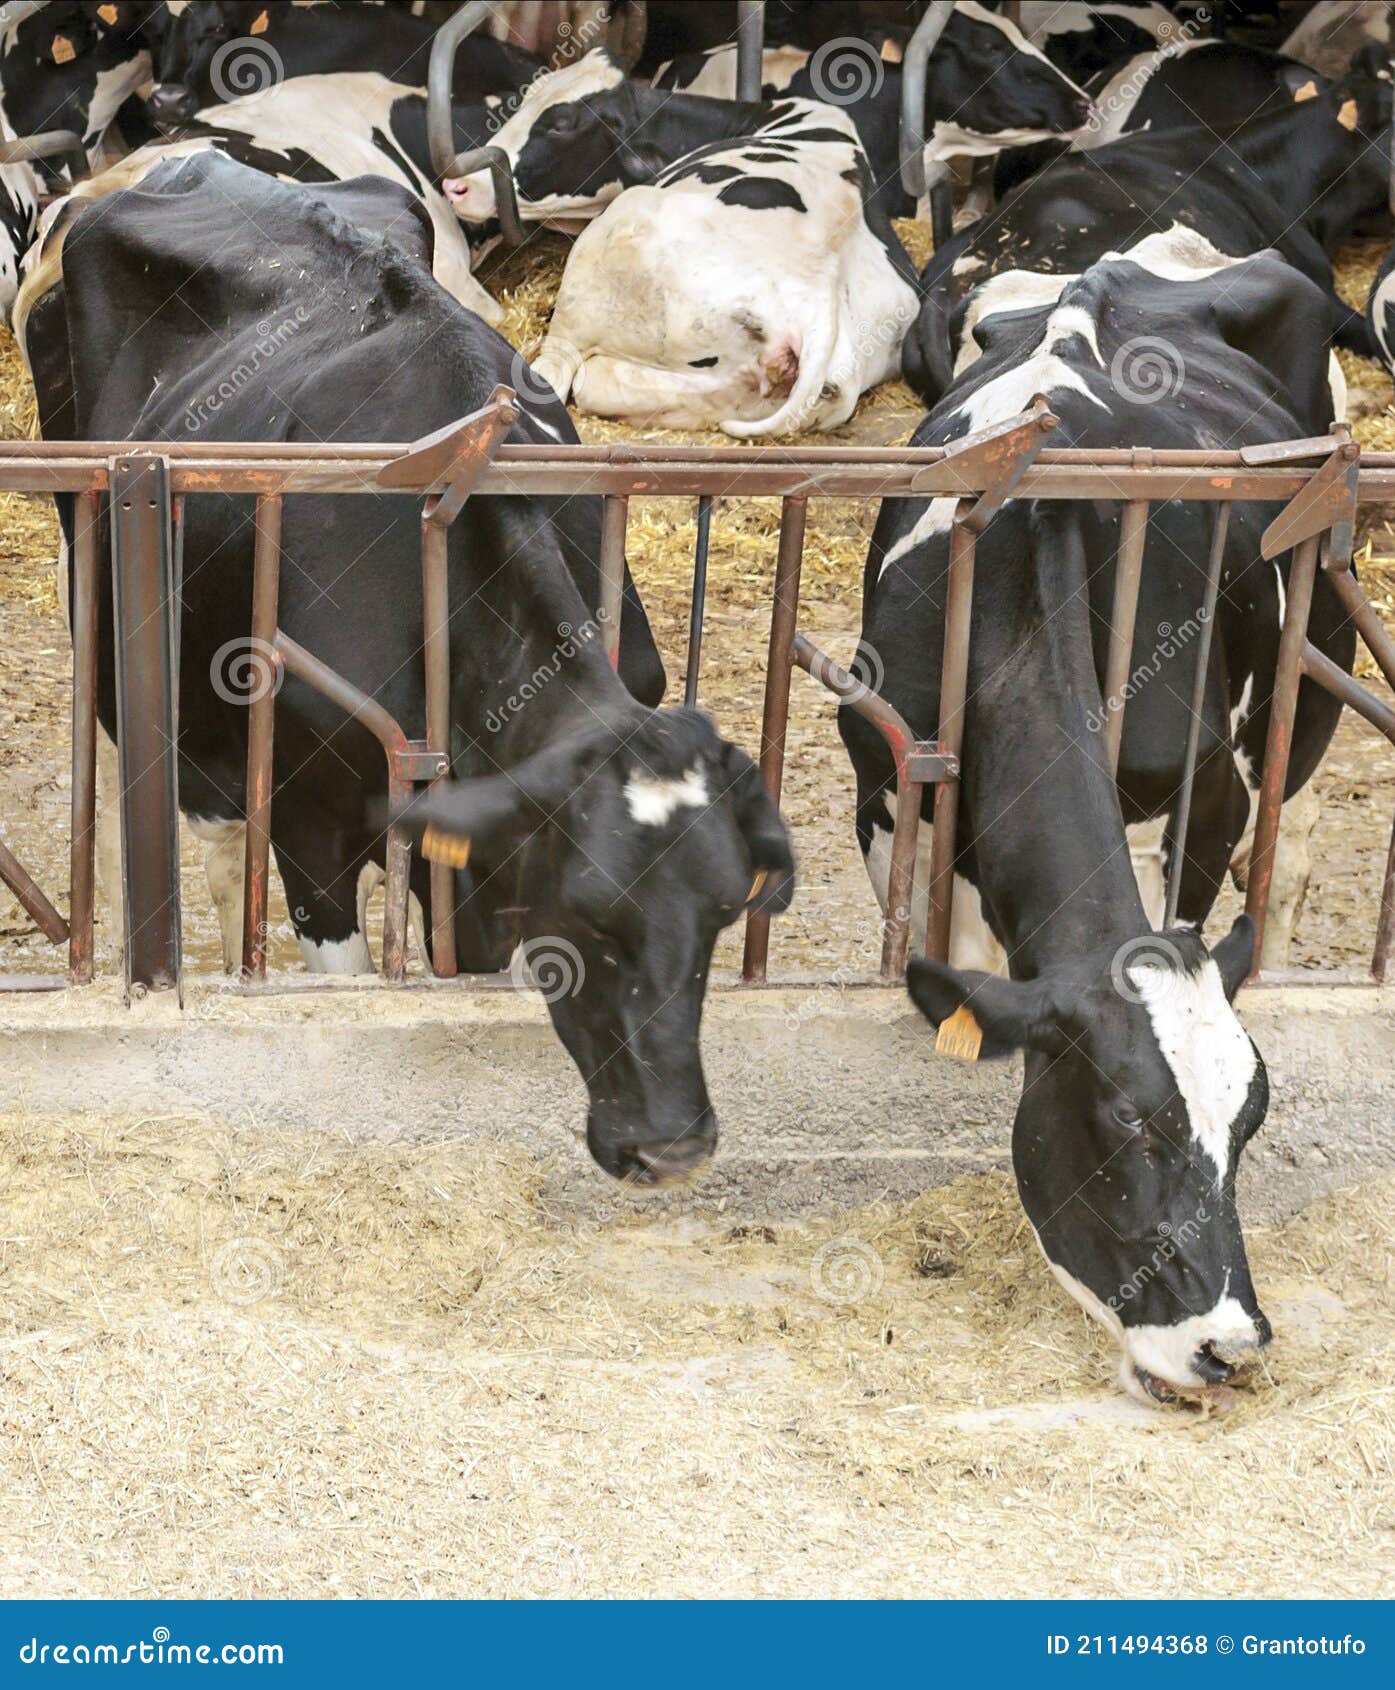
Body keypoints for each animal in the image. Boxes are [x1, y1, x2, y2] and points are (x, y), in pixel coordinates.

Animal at [18, 152, 797, 1185]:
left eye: (721, 911)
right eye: (587, 912)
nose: (672, 1147)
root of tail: (184, 157)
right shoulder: (310, 826)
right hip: (98, 558)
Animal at [841, 231, 1354, 1402]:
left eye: (1248, 1121)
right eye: (1127, 1121)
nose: (1229, 1345)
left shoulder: (1210, 787)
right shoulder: (888, 794)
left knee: (1294, 827)